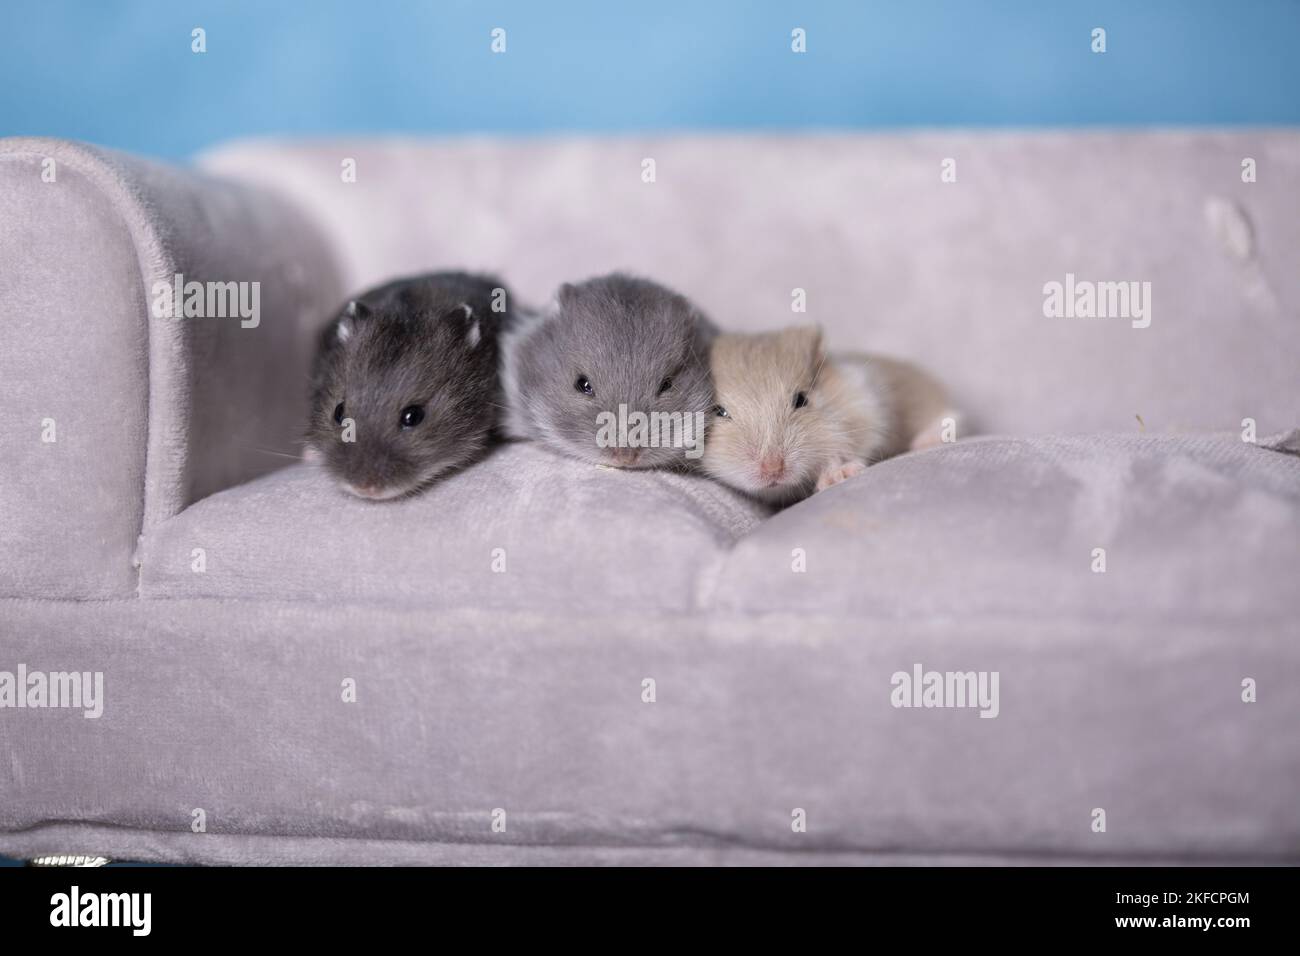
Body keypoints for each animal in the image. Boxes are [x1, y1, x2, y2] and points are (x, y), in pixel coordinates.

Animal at [701, 326, 958, 506]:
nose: (773, 470)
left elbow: (848, 448)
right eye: (719, 412)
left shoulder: (868, 411)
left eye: (801, 400)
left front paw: (837, 475)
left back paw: (926, 440)